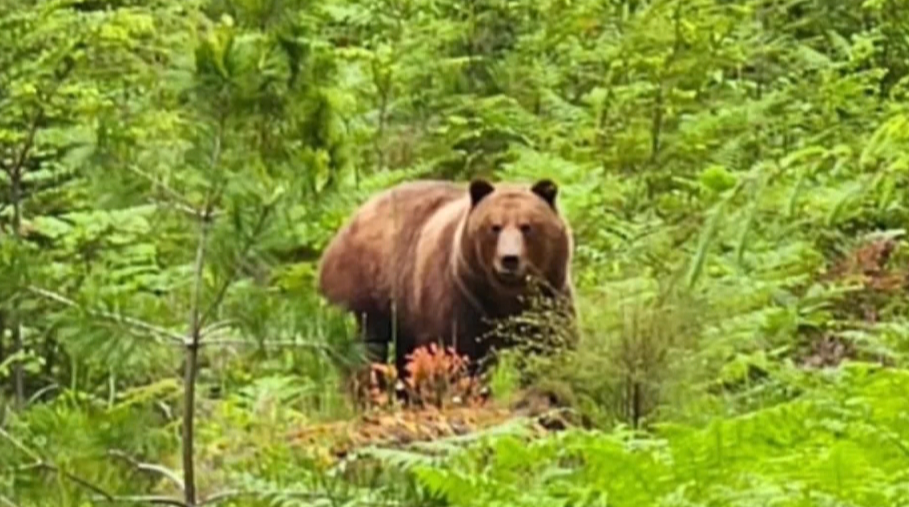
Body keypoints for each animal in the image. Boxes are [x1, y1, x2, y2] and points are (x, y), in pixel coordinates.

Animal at [317, 177, 576, 382]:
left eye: (527, 226)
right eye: (494, 227)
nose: (509, 259)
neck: (504, 301)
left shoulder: (551, 298)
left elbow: (552, 347)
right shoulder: (459, 299)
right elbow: (455, 353)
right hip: (363, 293)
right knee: (363, 350)